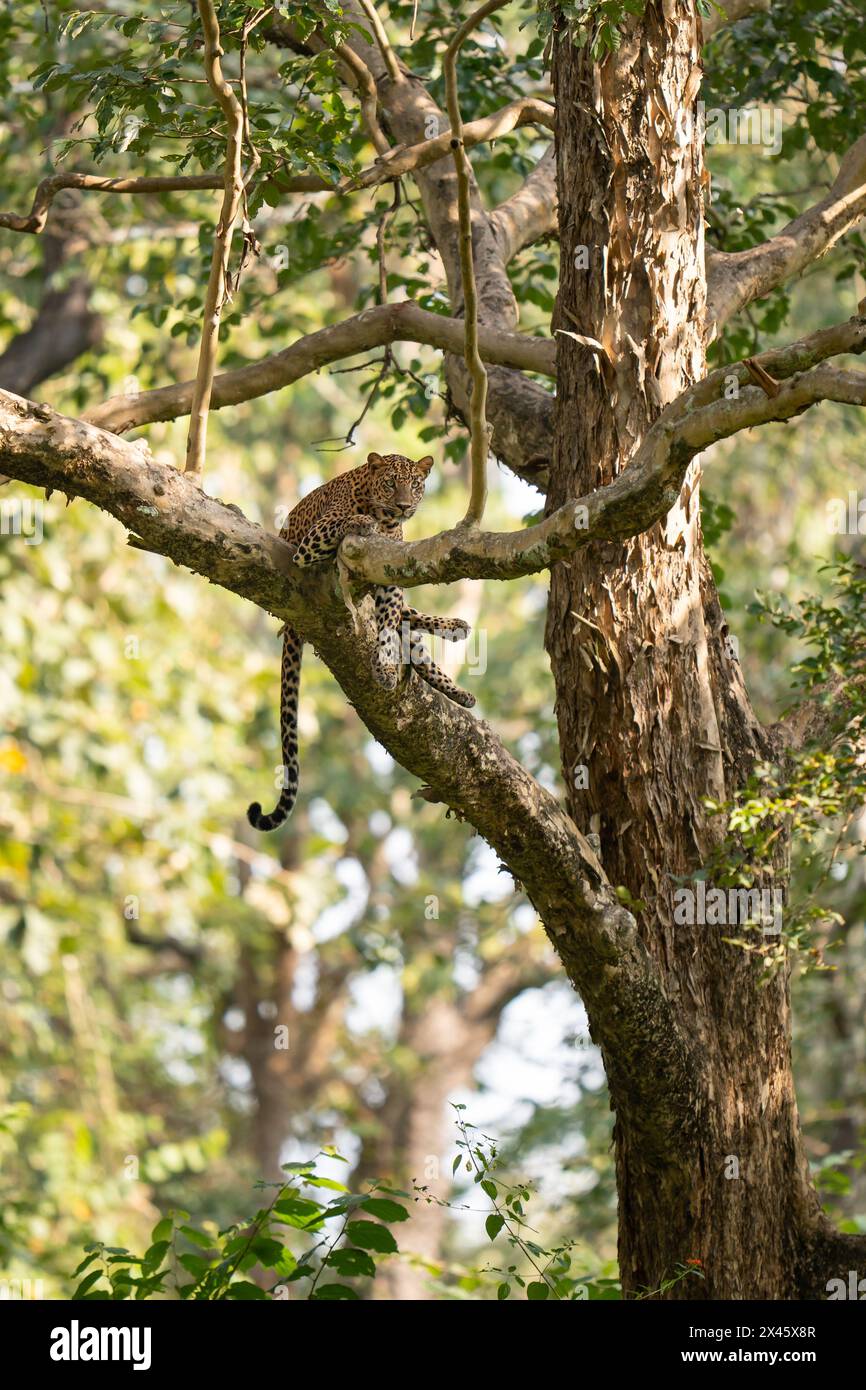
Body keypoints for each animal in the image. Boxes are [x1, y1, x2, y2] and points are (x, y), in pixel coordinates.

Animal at [247, 451, 476, 832]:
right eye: (390, 483)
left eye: (415, 484)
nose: (403, 506)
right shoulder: (310, 545)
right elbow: (346, 522)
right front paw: (361, 521)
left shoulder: (391, 573)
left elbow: (390, 622)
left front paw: (384, 667)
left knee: (415, 634)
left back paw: (457, 662)